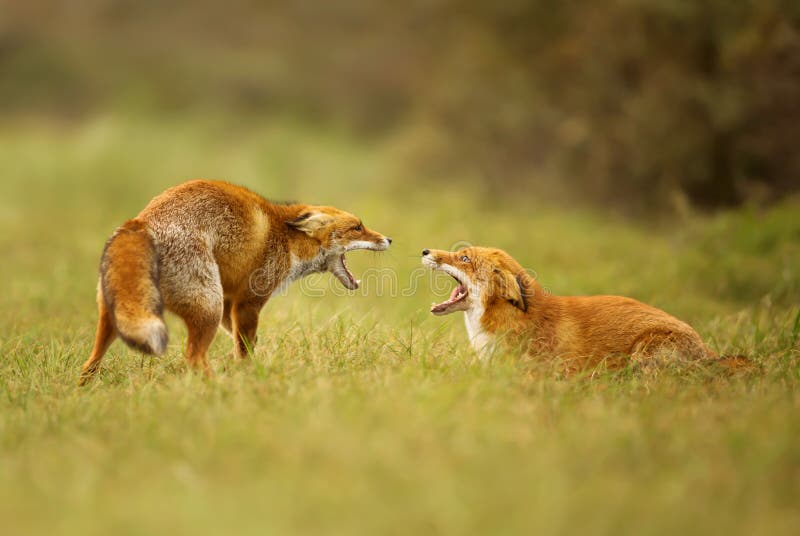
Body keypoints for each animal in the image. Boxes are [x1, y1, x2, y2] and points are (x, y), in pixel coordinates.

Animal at [79, 180, 392, 384]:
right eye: (357, 227)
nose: (389, 239)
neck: (288, 240)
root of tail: (142, 221)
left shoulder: (231, 302)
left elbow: (243, 342)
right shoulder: (249, 301)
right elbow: (245, 347)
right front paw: (249, 376)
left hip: (116, 316)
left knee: (90, 361)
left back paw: (83, 390)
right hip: (208, 306)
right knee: (193, 357)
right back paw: (217, 389)